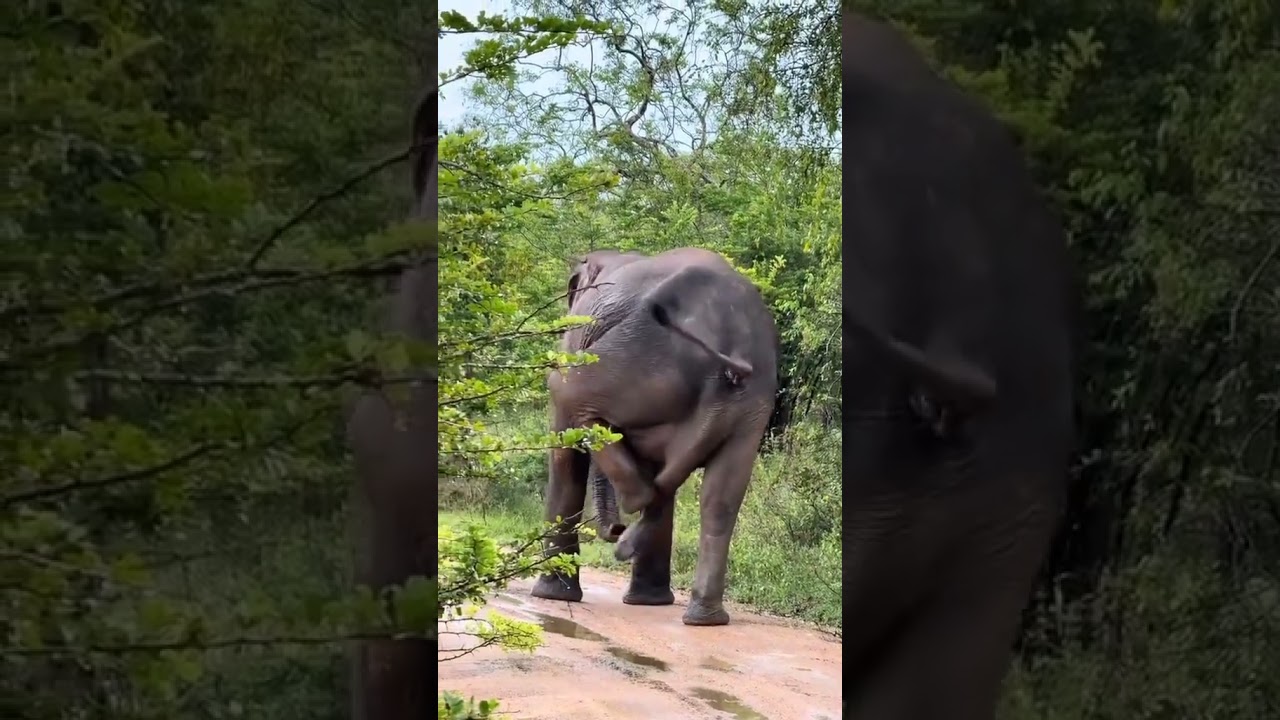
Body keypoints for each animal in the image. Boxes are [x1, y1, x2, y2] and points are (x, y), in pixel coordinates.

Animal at [530, 247, 779, 627]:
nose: (616, 529)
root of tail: (730, 344)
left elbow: (566, 453)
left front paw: (550, 596)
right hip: (747, 405)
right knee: (719, 498)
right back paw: (704, 618)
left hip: (639, 358)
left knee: (565, 390)